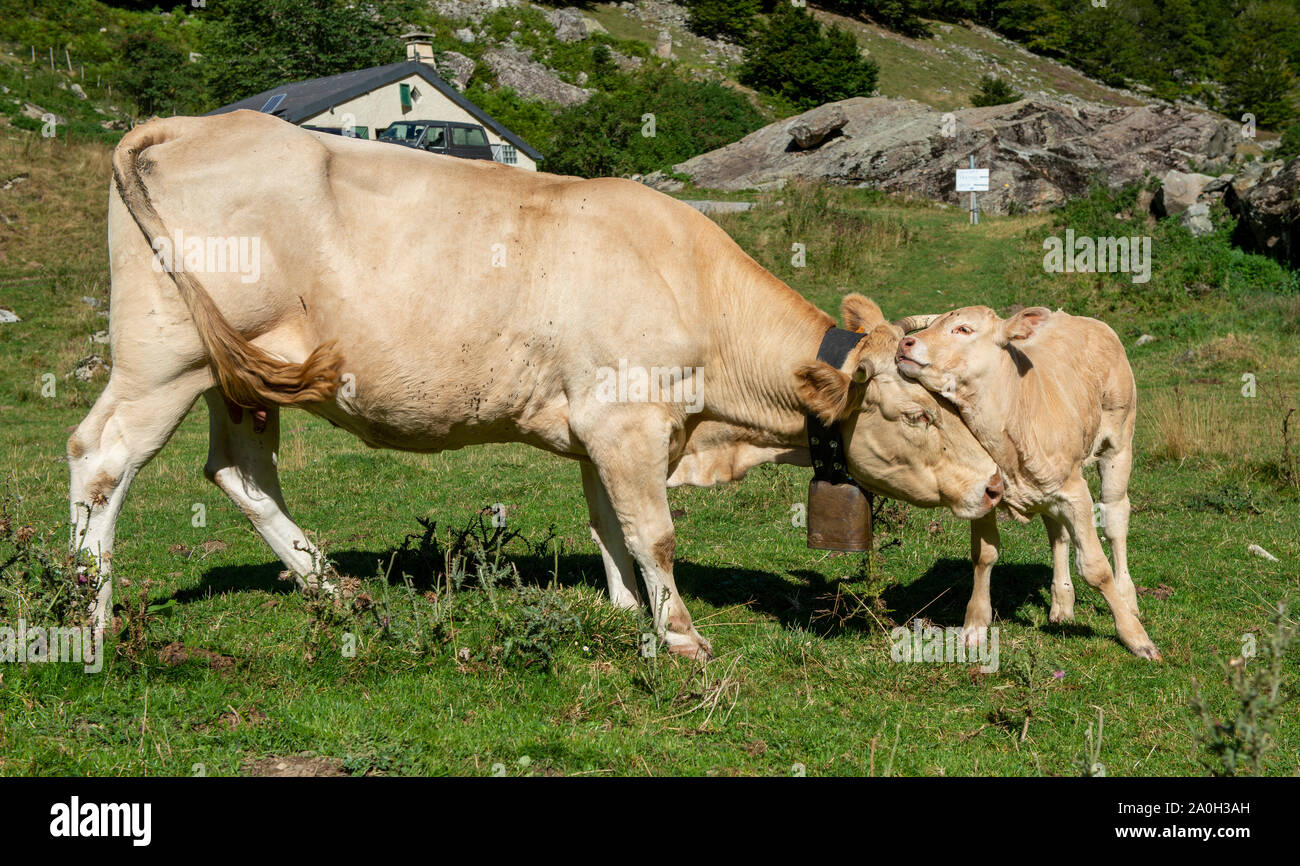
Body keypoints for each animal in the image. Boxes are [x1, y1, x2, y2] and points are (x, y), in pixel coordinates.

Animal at [69, 110, 1004, 660]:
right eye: (915, 413)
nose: (996, 483)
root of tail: (192, 123)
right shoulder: (629, 420)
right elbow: (654, 531)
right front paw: (680, 636)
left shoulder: (599, 425)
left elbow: (609, 526)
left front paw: (624, 610)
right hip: (161, 359)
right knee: (100, 457)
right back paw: (86, 615)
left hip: (236, 373)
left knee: (239, 470)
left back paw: (336, 591)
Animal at [894, 305, 1160, 659]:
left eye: (963, 329)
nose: (905, 343)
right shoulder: (985, 490)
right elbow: (984, 556)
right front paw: (975, 626)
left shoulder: (1076, 492)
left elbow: (1096, 568)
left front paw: (1134, 636)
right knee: (1058, 535)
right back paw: (1062, 604)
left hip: (1119, 443)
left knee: (1115, 520)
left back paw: (1128, 599)